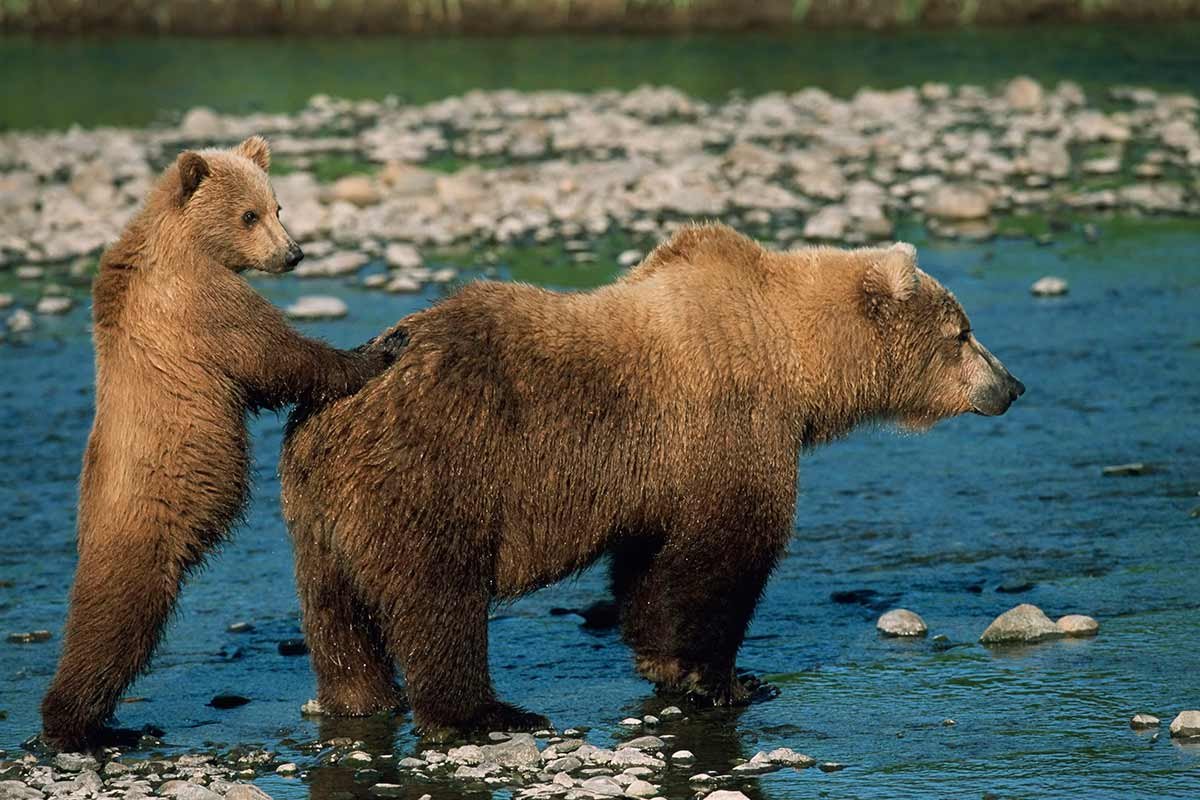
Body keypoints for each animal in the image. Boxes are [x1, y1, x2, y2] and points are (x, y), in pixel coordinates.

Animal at [41, 136, 403, 752]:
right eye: (249, 215)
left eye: (278, 206)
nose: (293, 253)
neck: (183, 242)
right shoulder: (200, 302)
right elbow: (275, 355)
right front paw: (375, 352)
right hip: (145, 530)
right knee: (114, 625)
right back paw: (80, 726)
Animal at [278, 223, 1024, 740]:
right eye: (963, 332)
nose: (1012, 385)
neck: (796, 363)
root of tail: (330, 418)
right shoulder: (727, 425)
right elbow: (721, 555)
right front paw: (726, 679)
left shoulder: (657, 476)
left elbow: (650, 565)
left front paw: (669, 664)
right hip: (436, 471)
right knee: (440, 599)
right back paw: (486, 713)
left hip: (322, 516)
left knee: (338, 617)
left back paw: (360, 701)